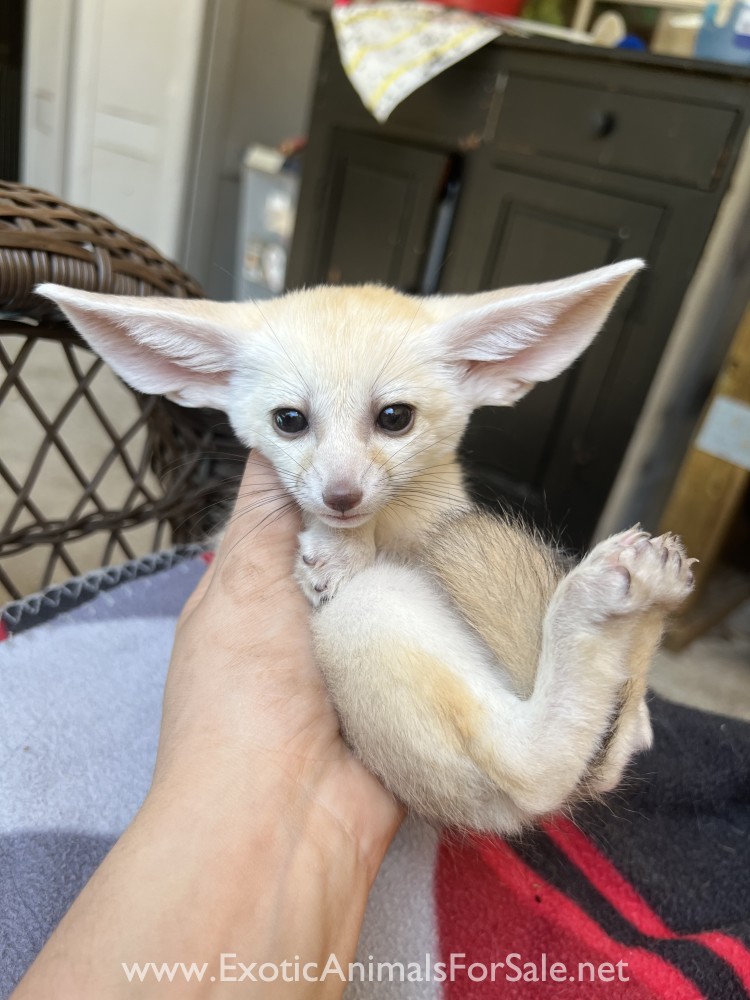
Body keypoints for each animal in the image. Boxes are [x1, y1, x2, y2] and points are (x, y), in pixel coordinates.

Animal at [37, 260, 693, 834]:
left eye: (395, 417)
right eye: (289, 420)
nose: (341, 496)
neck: (399, 525)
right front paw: (338, 545)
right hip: (367, 609)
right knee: (538, 770)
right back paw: (605, 606)